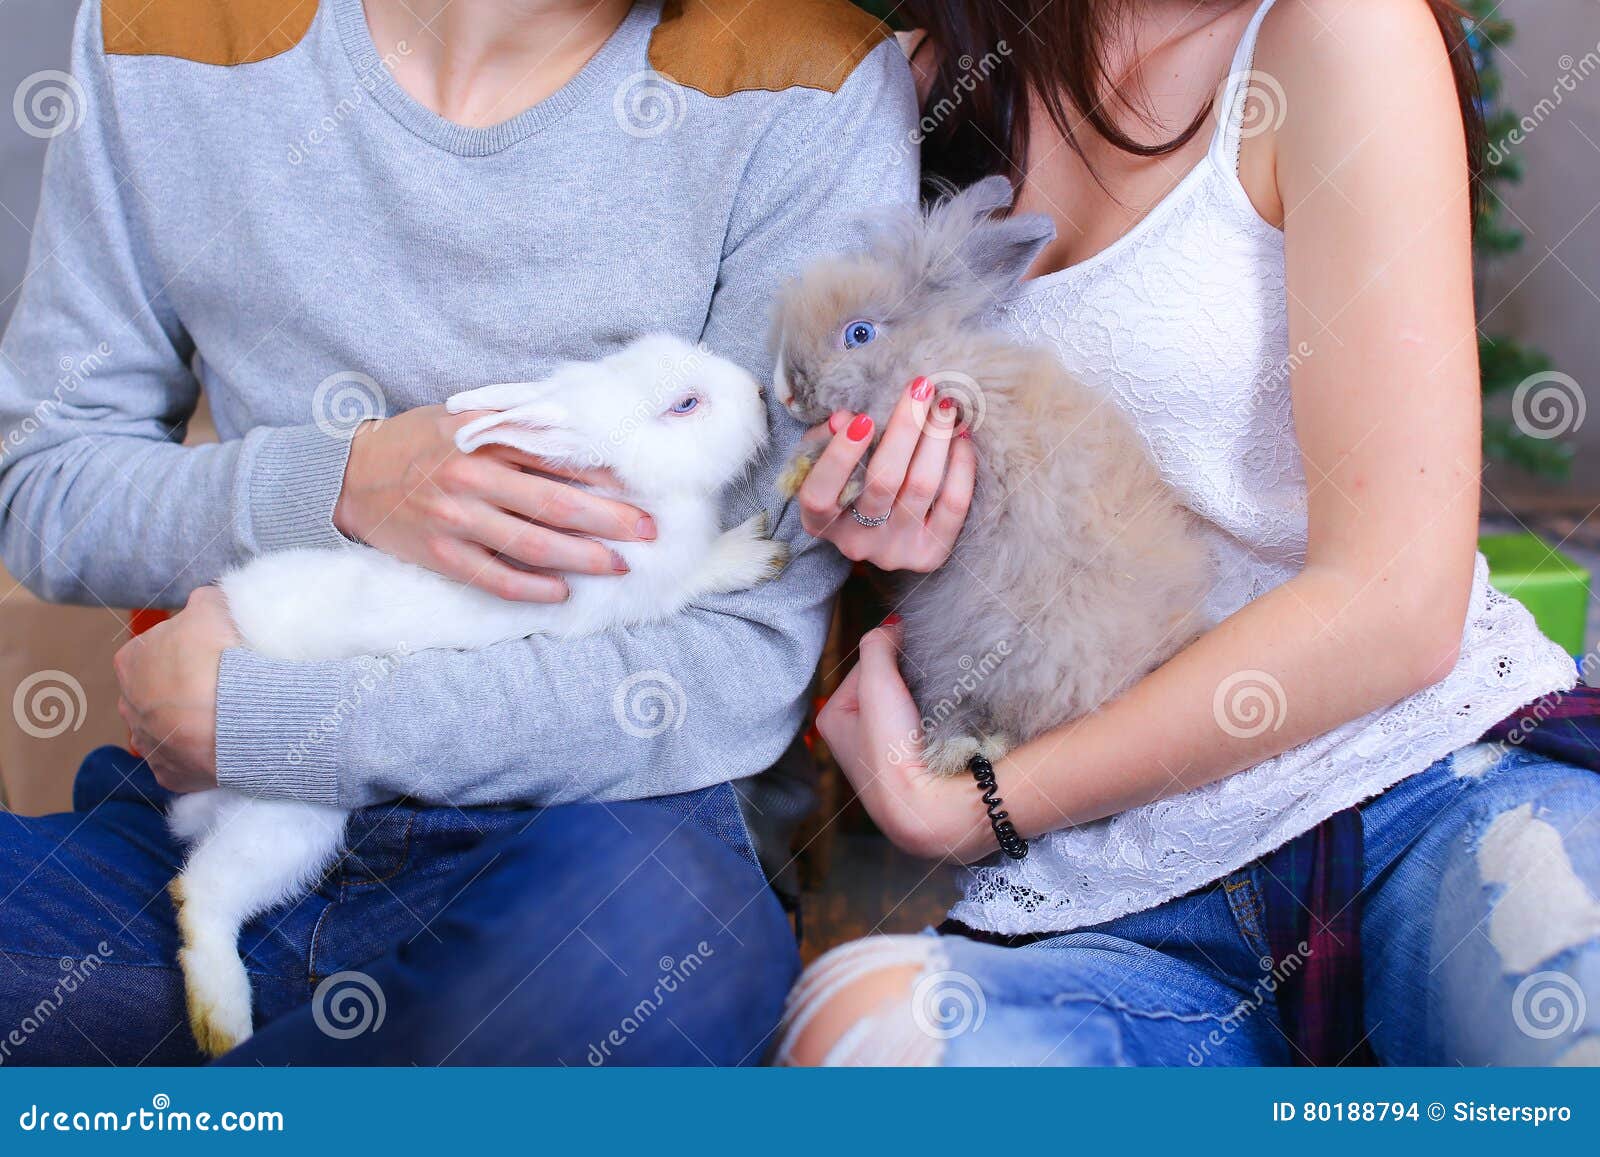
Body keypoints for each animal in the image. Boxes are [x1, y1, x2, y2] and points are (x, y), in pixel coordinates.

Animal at [168, 333, 786, 1057]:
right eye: (685, 405)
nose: (759, 394)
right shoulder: (638, 590)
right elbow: (695, 577)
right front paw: (752, 551)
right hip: (288, 816)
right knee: (200, 892)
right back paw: (222, 1023)